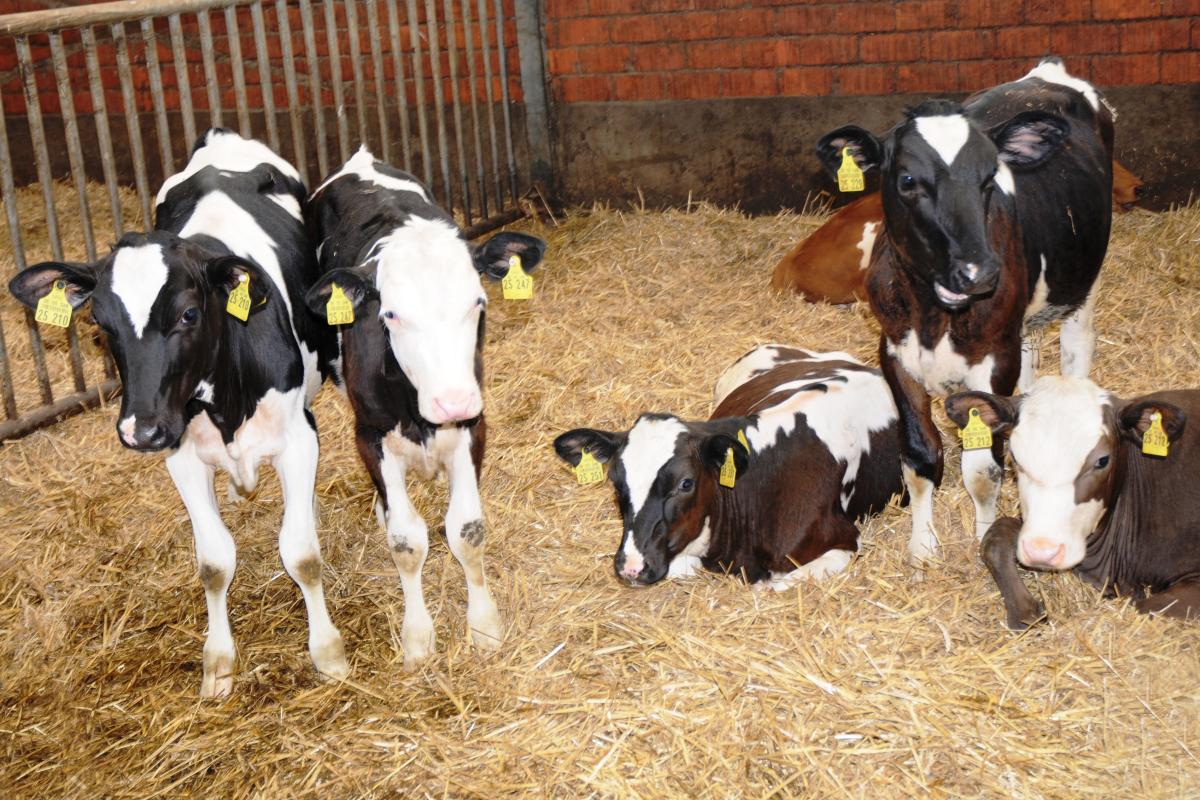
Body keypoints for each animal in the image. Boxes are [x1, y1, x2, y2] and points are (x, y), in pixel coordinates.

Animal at [8, 129, 346, 697]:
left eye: (189, 313)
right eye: (100, 325)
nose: (141, 430)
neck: (227, 400)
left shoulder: (299, 437)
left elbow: (301, 552)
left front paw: (327, 651)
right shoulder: (183, 457)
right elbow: (213, 562)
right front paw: (218, 660)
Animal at [302, 147, 546, 667]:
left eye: (478, 301)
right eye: (391, 314)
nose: (452, 400)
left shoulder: (475, 427)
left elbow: (467, 529)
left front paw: (484, 625)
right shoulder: (368, 435)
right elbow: (406, 541)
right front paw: (417, 637)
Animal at [815, 58, 1114, 565]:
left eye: (990, 179)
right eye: (908, 181)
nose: (979, 273)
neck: (935, 320)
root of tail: (1047, 70)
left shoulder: (992, 361)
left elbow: (981, 469)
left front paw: (985, 538)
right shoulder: (895, 352)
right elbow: (920, 456)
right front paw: (922, 546)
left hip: (1082, 280)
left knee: (1077, 345)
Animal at [946, 378, 1199, 628]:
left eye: (1102, 460)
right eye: (1015, 458)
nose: (1042, 552)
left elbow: (1146, 607)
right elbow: (995, 535)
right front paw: (1025, 611)